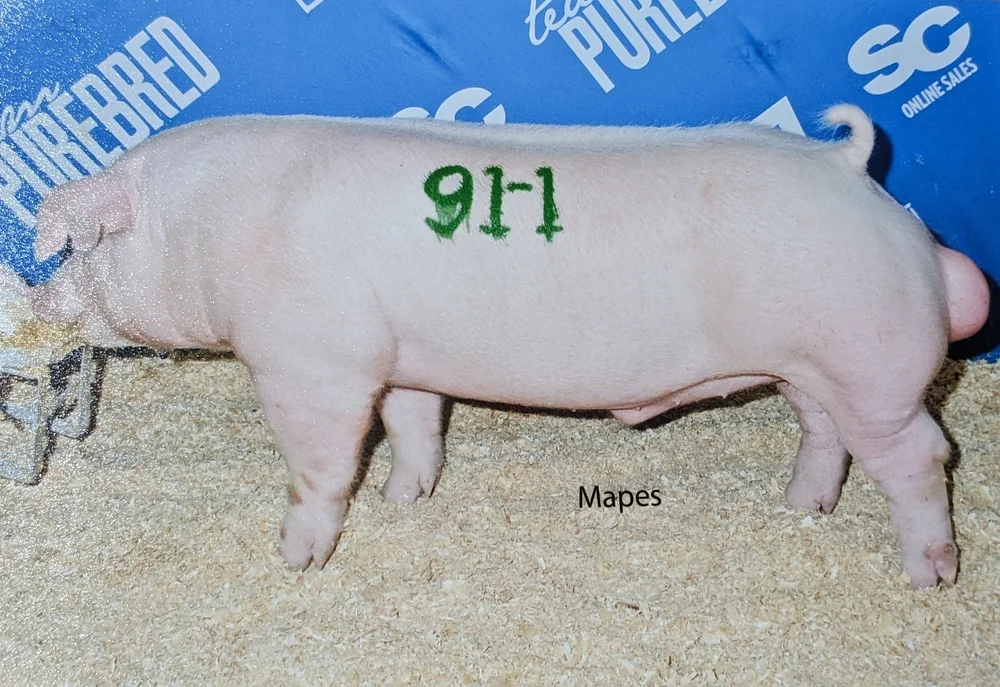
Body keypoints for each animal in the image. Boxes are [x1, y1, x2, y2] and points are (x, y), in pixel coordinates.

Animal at [27, 104, 990, 588]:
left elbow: (321, 464)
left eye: (82, 246)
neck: (211, 231)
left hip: (871, 362)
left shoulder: (313, 361)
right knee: (825, 435)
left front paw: (296, 559)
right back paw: (801, 508)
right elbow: (416, 424)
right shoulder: (398, 355)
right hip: (814, 366)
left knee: (920, 454)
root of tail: (853, 172)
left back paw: (930, 576)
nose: (36, 295)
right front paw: (406, 497)